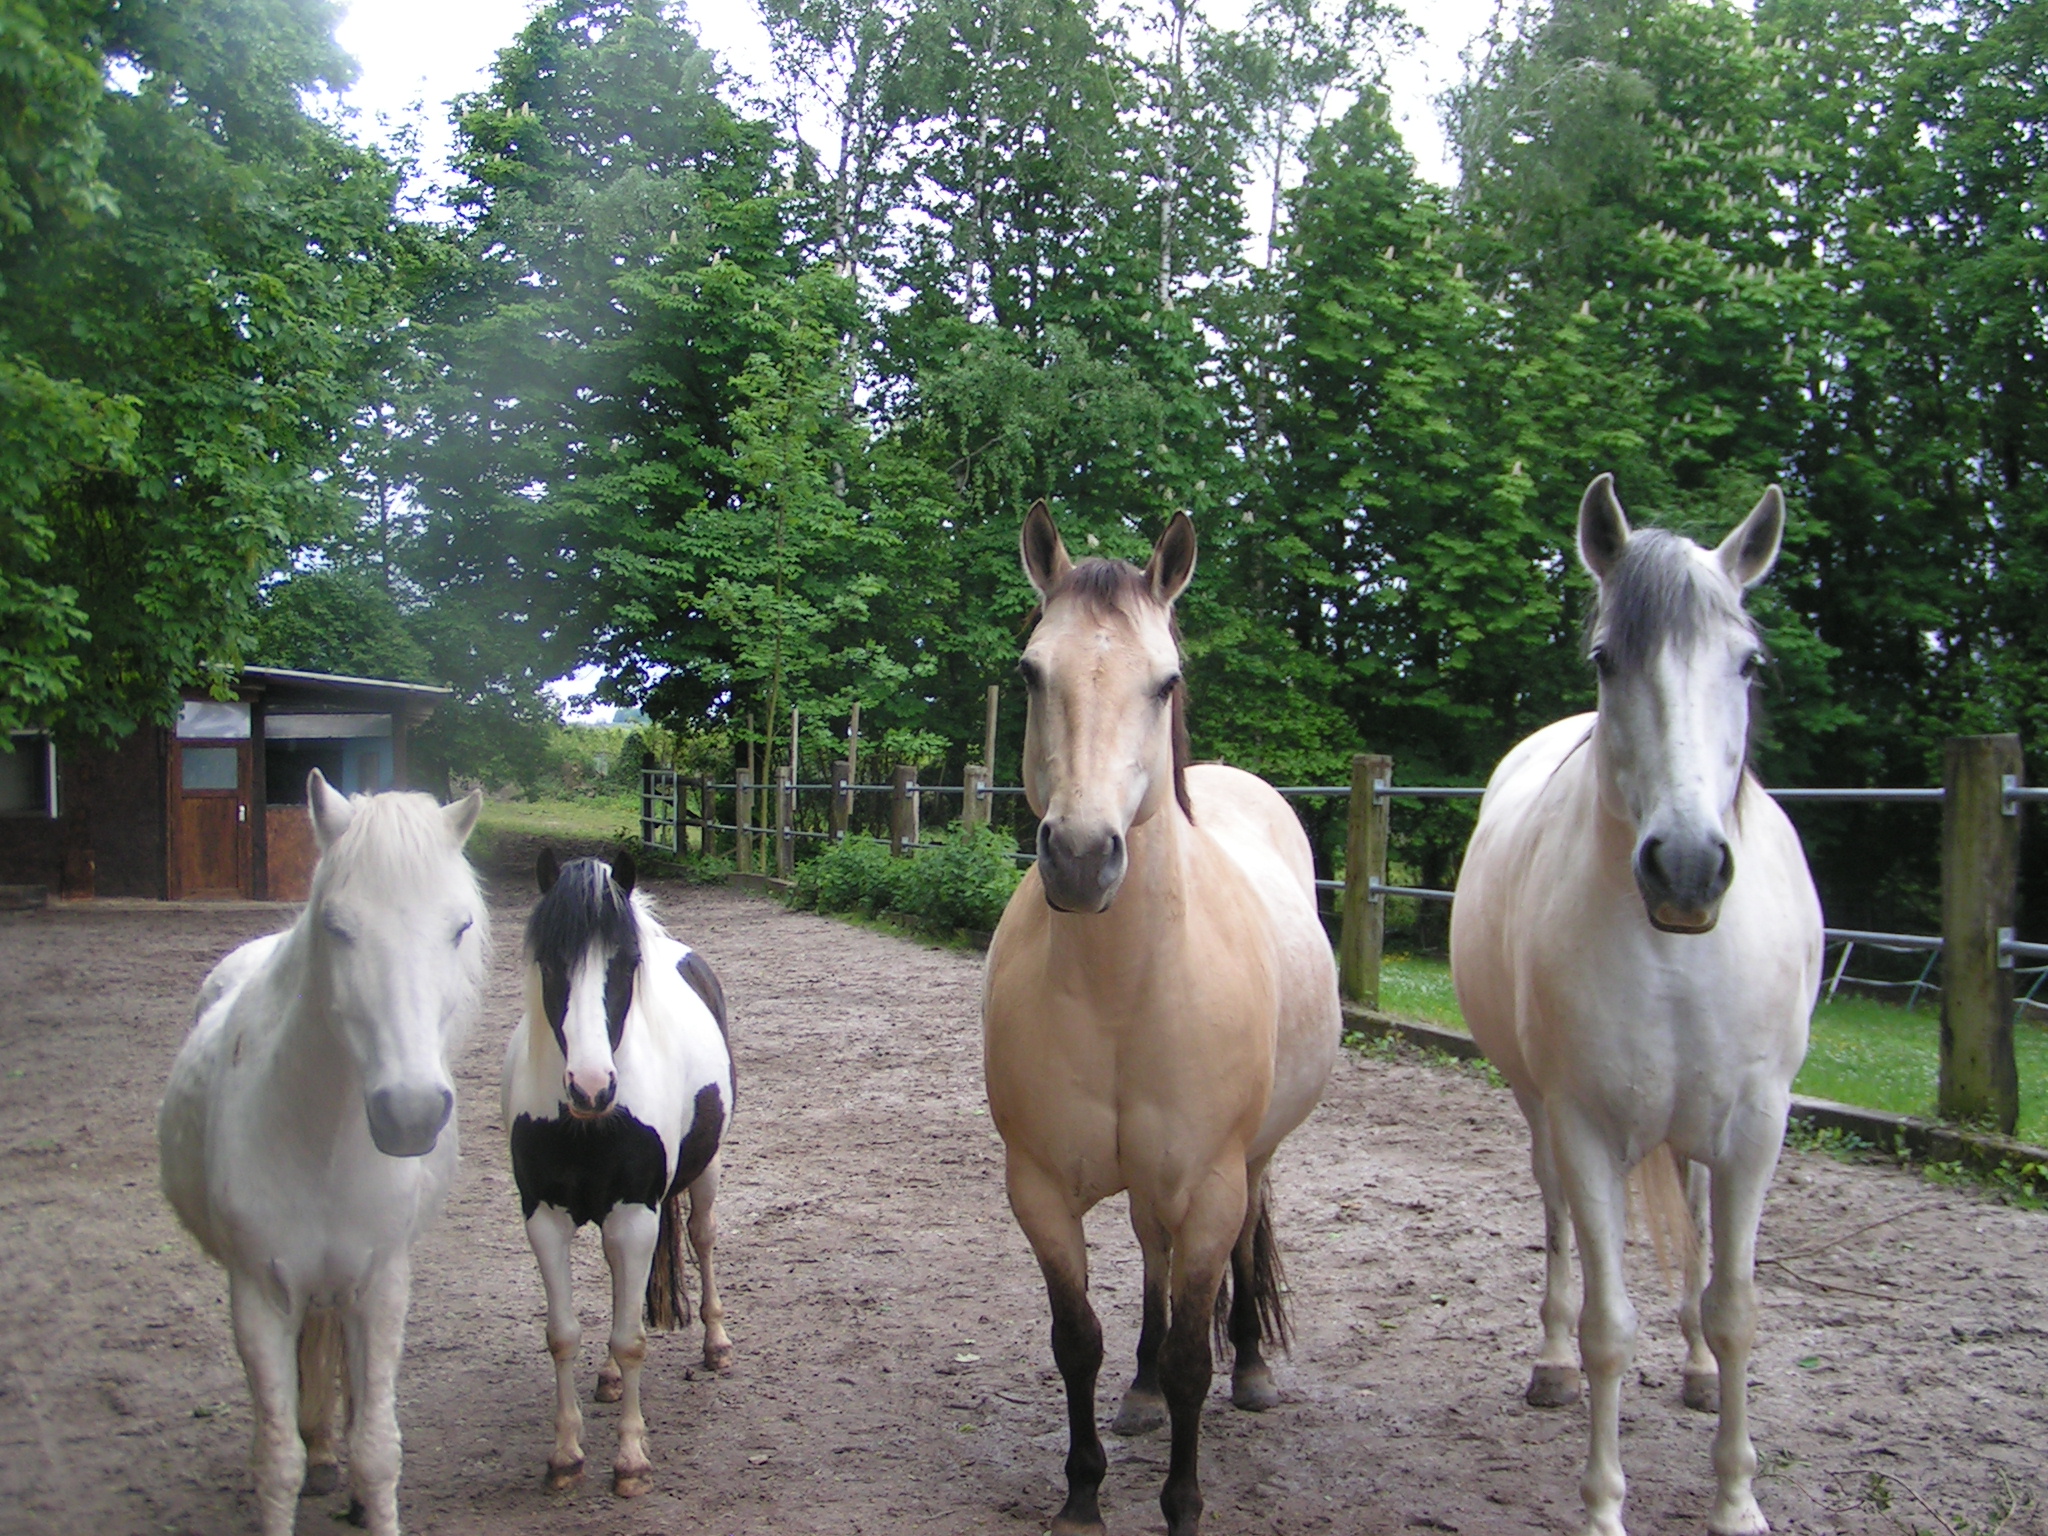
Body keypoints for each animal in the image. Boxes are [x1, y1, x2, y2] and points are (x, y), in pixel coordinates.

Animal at [158, 770, 487, 1536]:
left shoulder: (382, 1286)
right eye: (337, 926)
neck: (322, 1139)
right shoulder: (258, 1297)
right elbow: (277, 1463)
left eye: (458, 928)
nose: (410, 1111)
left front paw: (369, 1493)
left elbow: (380, 1449)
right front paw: (301, 1464)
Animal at [502, 846, 733, 1497]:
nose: (591, 1086)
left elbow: (631, 1341)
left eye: (626, 964)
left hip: (703, 1175)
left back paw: (716, 1344)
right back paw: (604, 1381)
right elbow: (564, 1335)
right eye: (550, 961)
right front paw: (565, 1456)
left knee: (702, 1239)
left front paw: (631, 1461)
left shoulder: (635, 1215)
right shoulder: (544, 1219)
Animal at [982, 502, 1341, 1536]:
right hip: (1151, 1183)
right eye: (1031, 671)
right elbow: (1078, 1339)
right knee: (1149, 1252)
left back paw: (1252, 1371)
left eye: (1166, 679)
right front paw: (1082, 1496)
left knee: (1240, 1252)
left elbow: (1193, 1355)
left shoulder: (1211, 1184)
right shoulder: (1039, 1192)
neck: (1121, 991)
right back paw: (1138, 1397)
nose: (1080, 856)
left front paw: (1182, 1505)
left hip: (1249, 1163)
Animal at [1449, 474, 1823, 1536]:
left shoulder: (1757, 1127)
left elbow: (1737, 1308)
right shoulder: (1582, 1123)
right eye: (1607, 659)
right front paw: (1604, 1505)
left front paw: (1736, 1499)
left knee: (1692, 1229)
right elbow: (1611, 1325)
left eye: (1748, 662)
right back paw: (1550, 1366)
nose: (1687, 867)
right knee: (1558, 1226)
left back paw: (1693, 1369)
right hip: (1541, 1112)